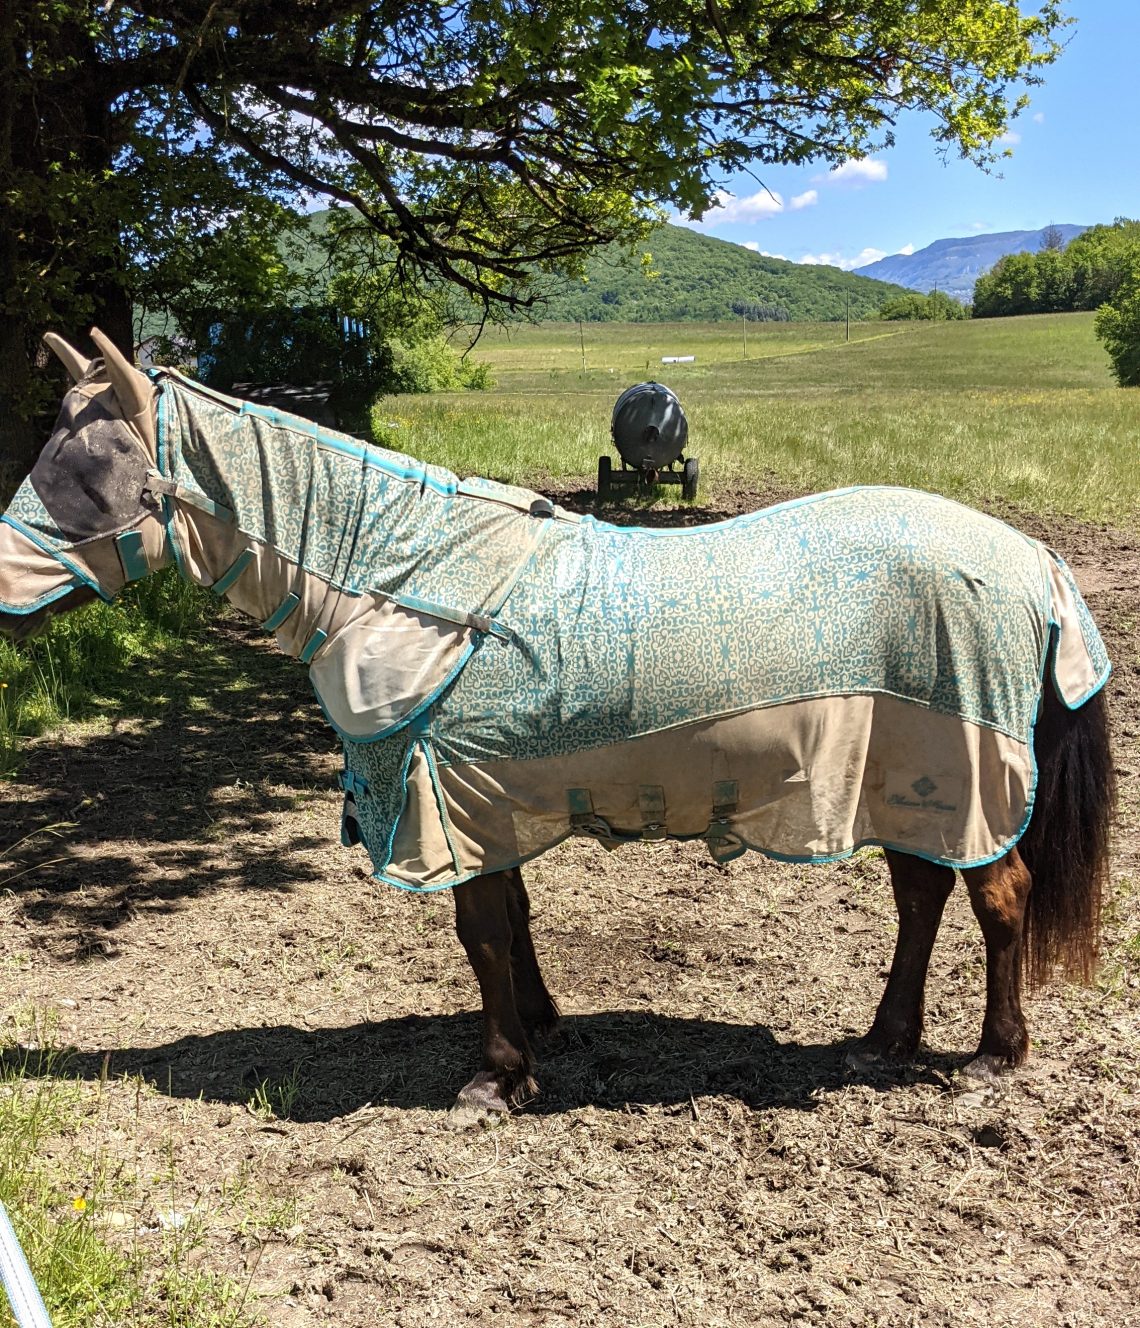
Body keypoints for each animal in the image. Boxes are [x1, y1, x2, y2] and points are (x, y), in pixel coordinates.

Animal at [0, 331, 1115, 1119]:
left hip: (961, 776)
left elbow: (482, 931)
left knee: (1000, 901)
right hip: (909, 780)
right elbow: (511, 920)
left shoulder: (444, 794)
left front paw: (498, 1074)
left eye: (87, 461)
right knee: (923, 898)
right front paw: (541, 1031)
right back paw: (885, 1037)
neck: (401, 577)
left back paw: (993, 1056)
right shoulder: (485, 793)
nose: (1, 588)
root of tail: (1031, 559)